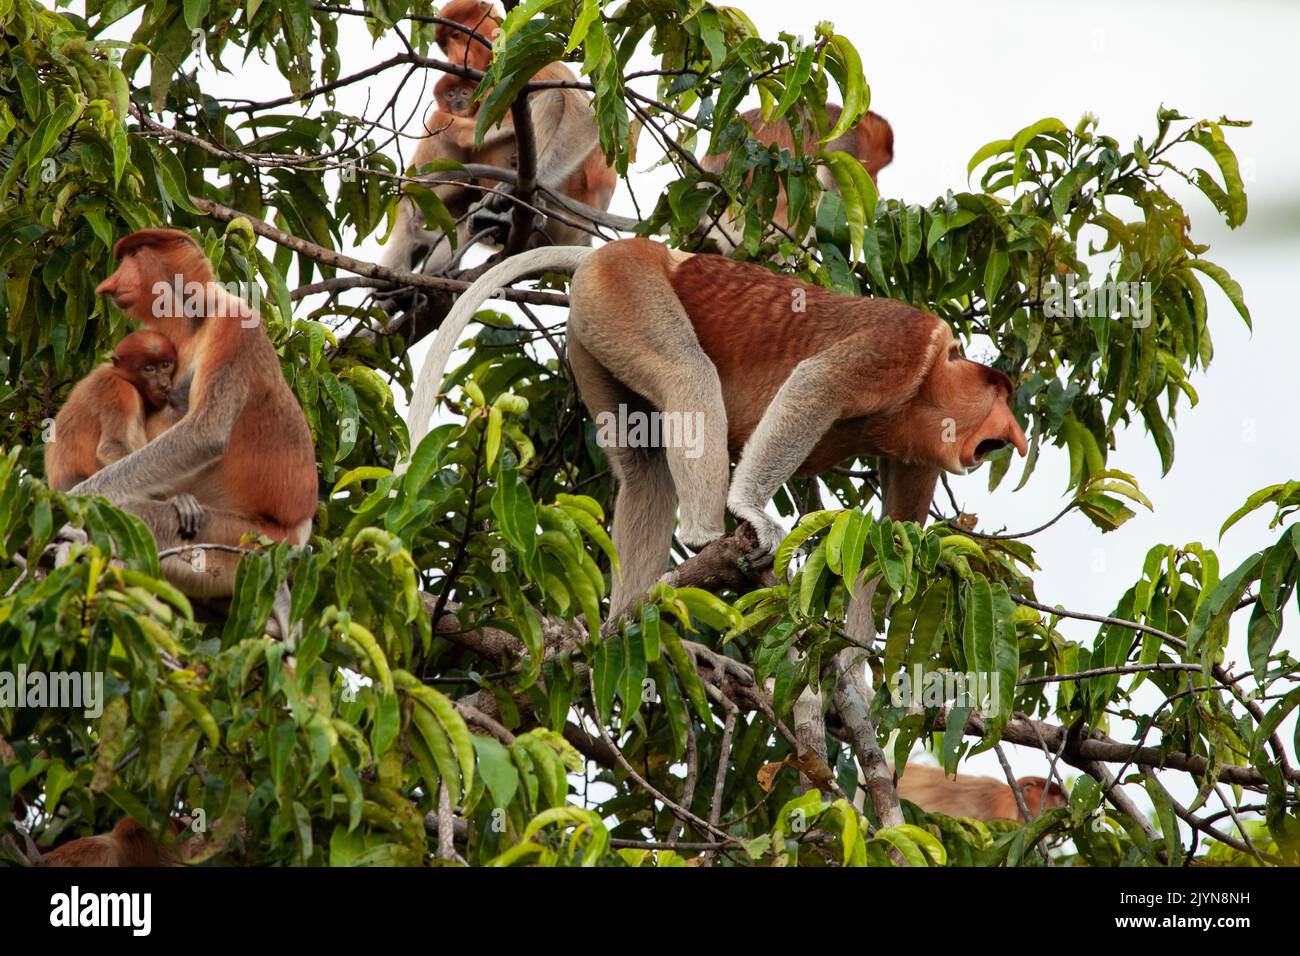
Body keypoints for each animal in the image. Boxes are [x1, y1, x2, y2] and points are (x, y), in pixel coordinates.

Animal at [71, 229, 317, 612]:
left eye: (133, 256)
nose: (107, 285)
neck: (197, 316)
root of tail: (300, 531)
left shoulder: (234, 327)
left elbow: (205, 434)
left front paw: (75, 496)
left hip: (245, 541)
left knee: (136, 518)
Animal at [381, 0, 617, 275]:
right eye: (444, 45)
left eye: (456, 36)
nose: (454, 58)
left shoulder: (526, 51)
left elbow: (583, 114)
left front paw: (508, 190)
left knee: (552, 99)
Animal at [404, 239, 1028, 617]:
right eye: (998, 389)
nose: (1017, 437)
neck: (930, 380)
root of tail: (612, 251)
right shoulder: (900, 343)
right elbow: (814, 386)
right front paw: (752, 512)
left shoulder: (917, 453)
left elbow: (895, 533)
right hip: (625, 292)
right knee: (688, 372)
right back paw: (704, 537)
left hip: (590, 333)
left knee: (643, 469)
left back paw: (624, 616)